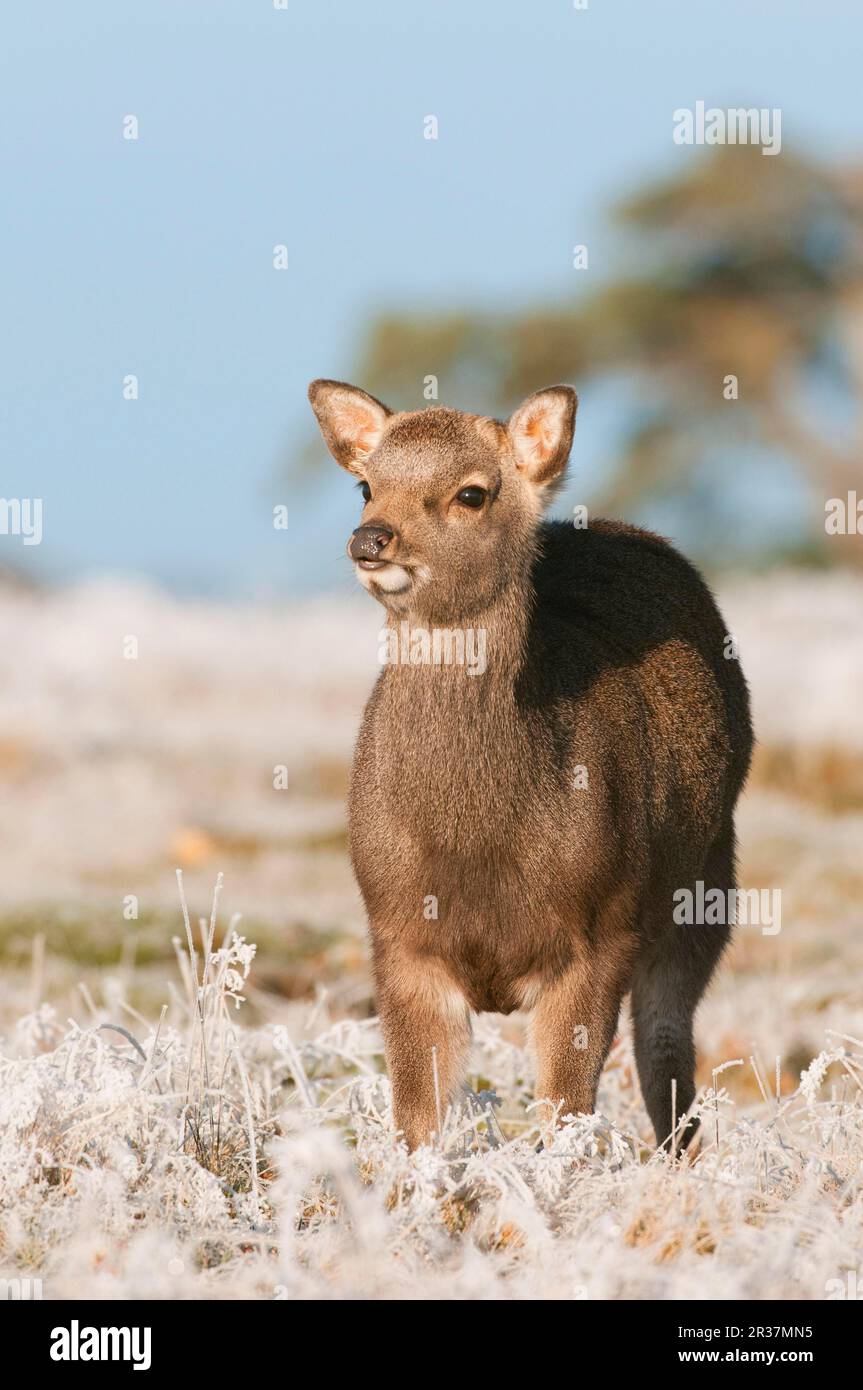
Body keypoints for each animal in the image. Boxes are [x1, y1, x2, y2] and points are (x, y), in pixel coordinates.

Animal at [308, 379, 753, 1153]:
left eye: (472, 493)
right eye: (365, 485)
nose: (370, 539)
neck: (480, 845)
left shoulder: (601, 931)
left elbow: (566, 1113)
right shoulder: (395, 933)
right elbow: (415, 1117)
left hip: (706, 880)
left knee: (667, 1047)